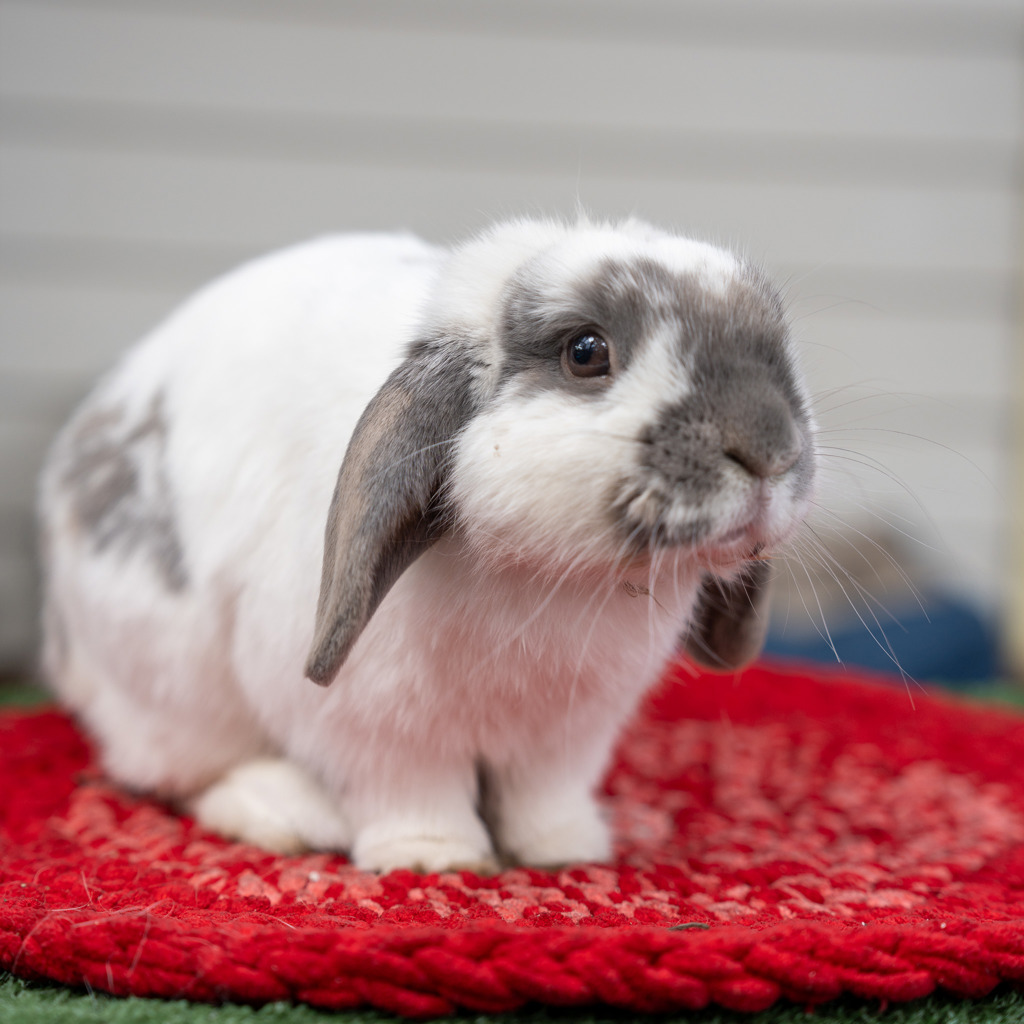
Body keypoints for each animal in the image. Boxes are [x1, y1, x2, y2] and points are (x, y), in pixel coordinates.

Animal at [38, 217, 816, 874]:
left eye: (776, 350)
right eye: (586, 352)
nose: (768, 448)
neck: (556, 582)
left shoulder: (571, 735)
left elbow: (545, 796)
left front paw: (564, 851)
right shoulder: (375, 727)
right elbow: (409, 791)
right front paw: (432, 858)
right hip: (173, 683)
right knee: (183, 771)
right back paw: (290, 814)